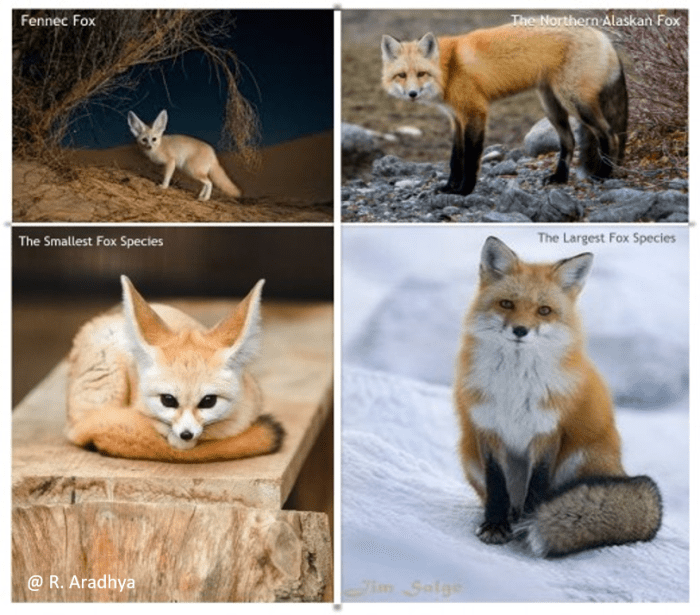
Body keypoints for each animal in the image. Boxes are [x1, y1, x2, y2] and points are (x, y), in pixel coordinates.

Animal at [381, 24, 628, 195]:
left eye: (421, 74)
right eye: (401, 75)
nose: (412, 94)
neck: (449, 68)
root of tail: (604, 36)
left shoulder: (476, 112)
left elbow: (470, 158)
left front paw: (464, 191)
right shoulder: (456, 118)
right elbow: (455, 159)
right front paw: (450, 187)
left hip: (575, 102)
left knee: (610, 135)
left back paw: (603, 174)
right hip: (551, 106)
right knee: (569, 142)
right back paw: (559, 177)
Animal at [453, 237, 661, 557]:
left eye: (544, 310)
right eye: (506, 304)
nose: (520, 330)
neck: (515, 384)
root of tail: (619, 469)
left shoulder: (548, 430)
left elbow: (537, 485)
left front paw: (528, 525)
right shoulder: (488, 428)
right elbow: (497, 485)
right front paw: (495, 526)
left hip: (577, 458)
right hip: (469, 457)